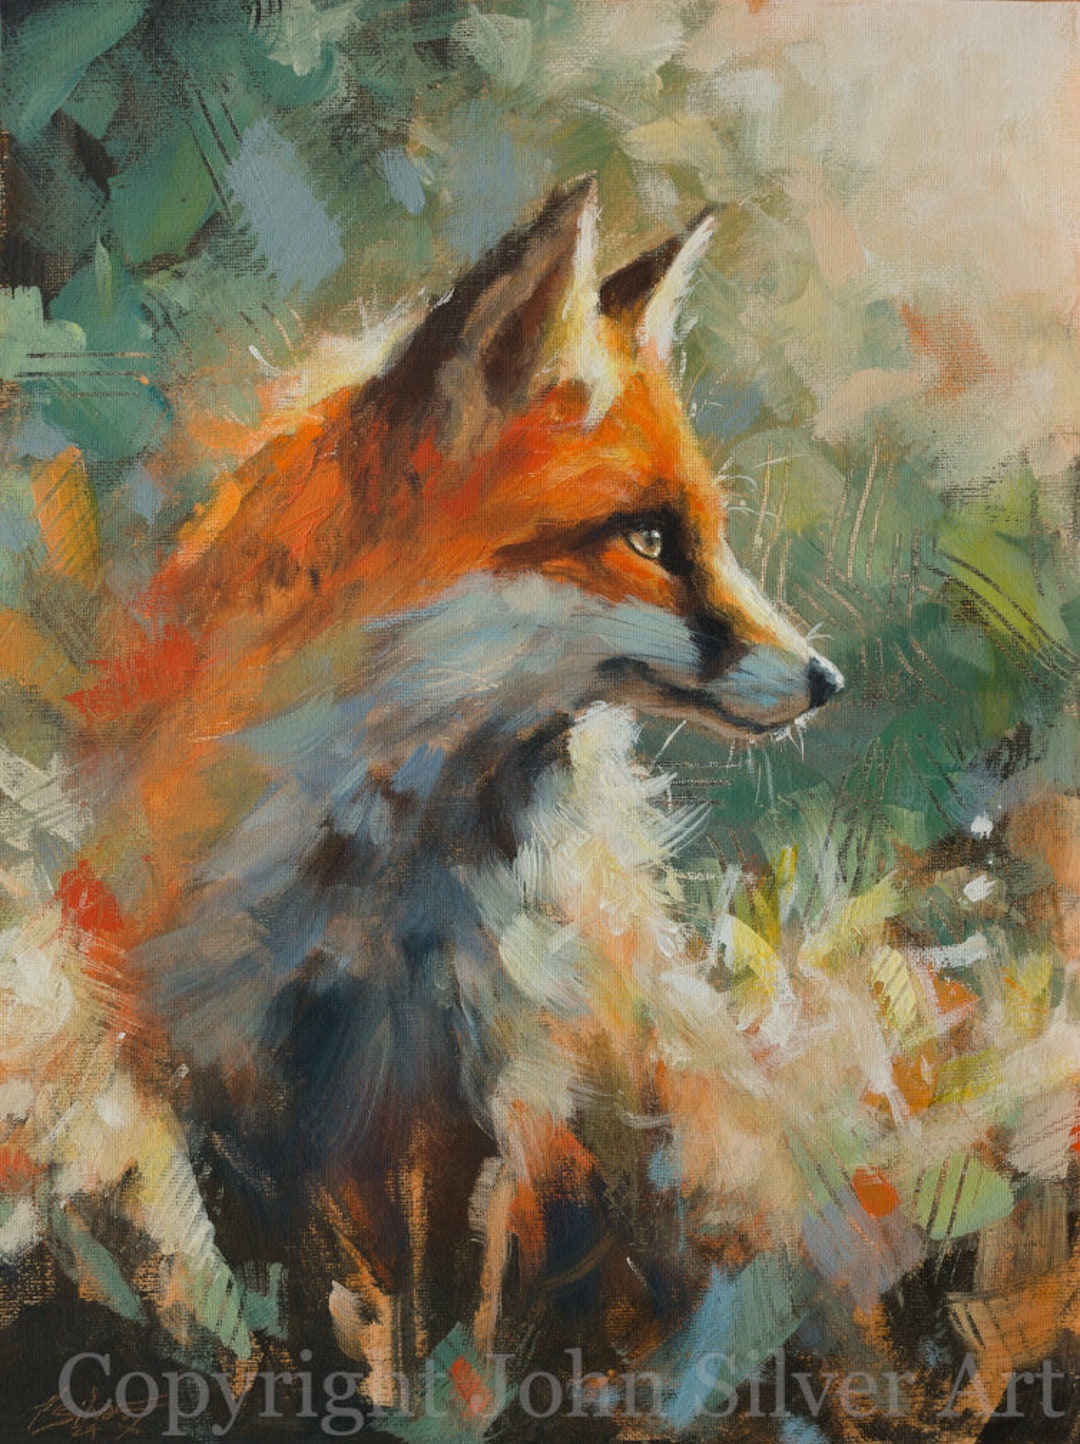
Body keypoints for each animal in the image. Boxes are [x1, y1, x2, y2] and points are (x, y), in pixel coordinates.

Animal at [22, 177, 846, 1416]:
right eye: (651, 536)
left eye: (707, 531)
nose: (826, 679)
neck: (369, 879)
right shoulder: (227, 1072)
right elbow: (318, 1314)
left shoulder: (487, 1090)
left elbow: (461, 1333)